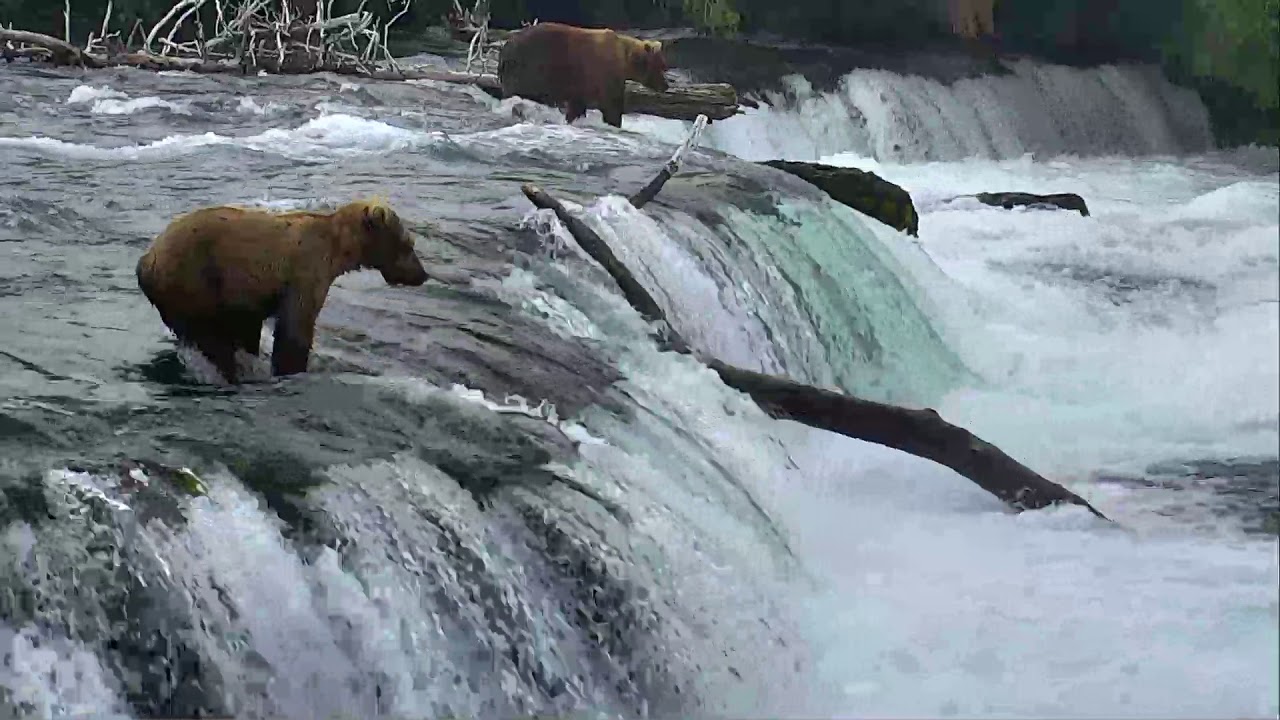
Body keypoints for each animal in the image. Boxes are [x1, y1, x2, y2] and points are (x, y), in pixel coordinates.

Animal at [135, 198, 429, 384]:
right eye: (409, 243)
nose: (422, 275)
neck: (340, 249)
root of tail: (147, 260)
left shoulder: (247, 295)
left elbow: (250, 327)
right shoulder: (305, 272)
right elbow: (295, 329)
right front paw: (292, 369)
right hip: (191, 280)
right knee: (212, 338)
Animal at [497, 21, 670, 129]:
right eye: (662, 66)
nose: (666, 85)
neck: (625, 60)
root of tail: (506, 46)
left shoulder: (581, 84)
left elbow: (577, 106)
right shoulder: (603, 73)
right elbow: (612, 105)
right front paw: (614, 123)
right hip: (529, 68)